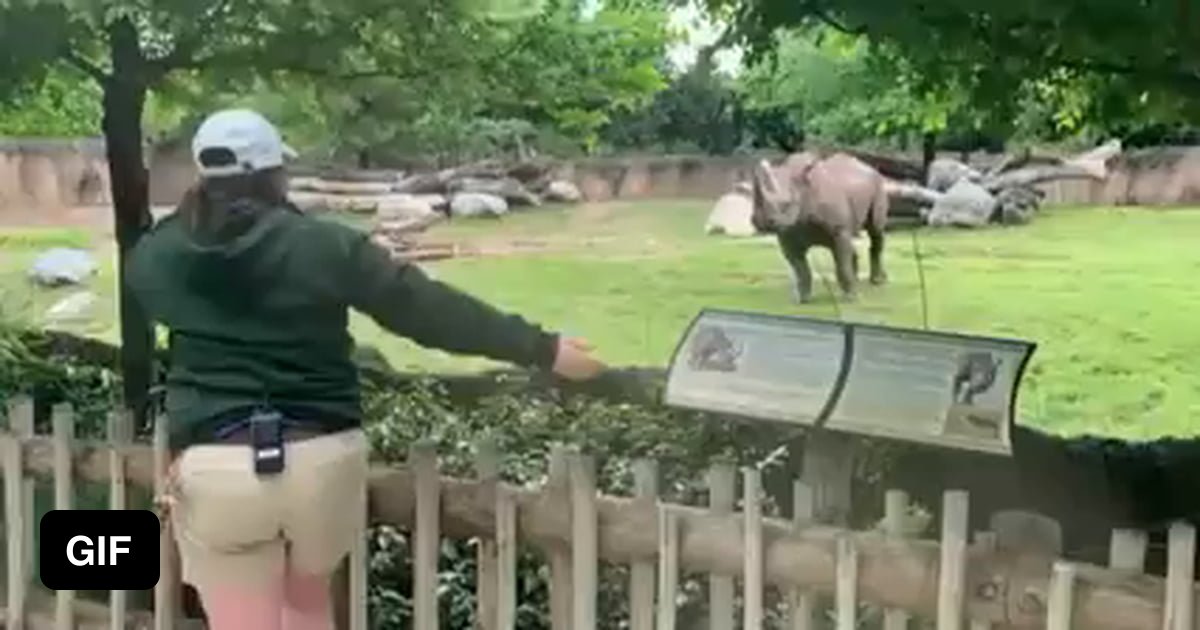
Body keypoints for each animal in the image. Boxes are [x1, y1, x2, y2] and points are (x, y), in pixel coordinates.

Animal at [750, 152, 891, 303]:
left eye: (787, 204)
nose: (761, 222)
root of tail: (867, 166)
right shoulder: (788, 232)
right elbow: (800, 267)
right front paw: (803, 299)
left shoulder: (838, 229)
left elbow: (842, 264)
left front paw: (851, 298)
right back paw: (856, 280)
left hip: (878, 184)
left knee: (875, 230)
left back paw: (877, 281)